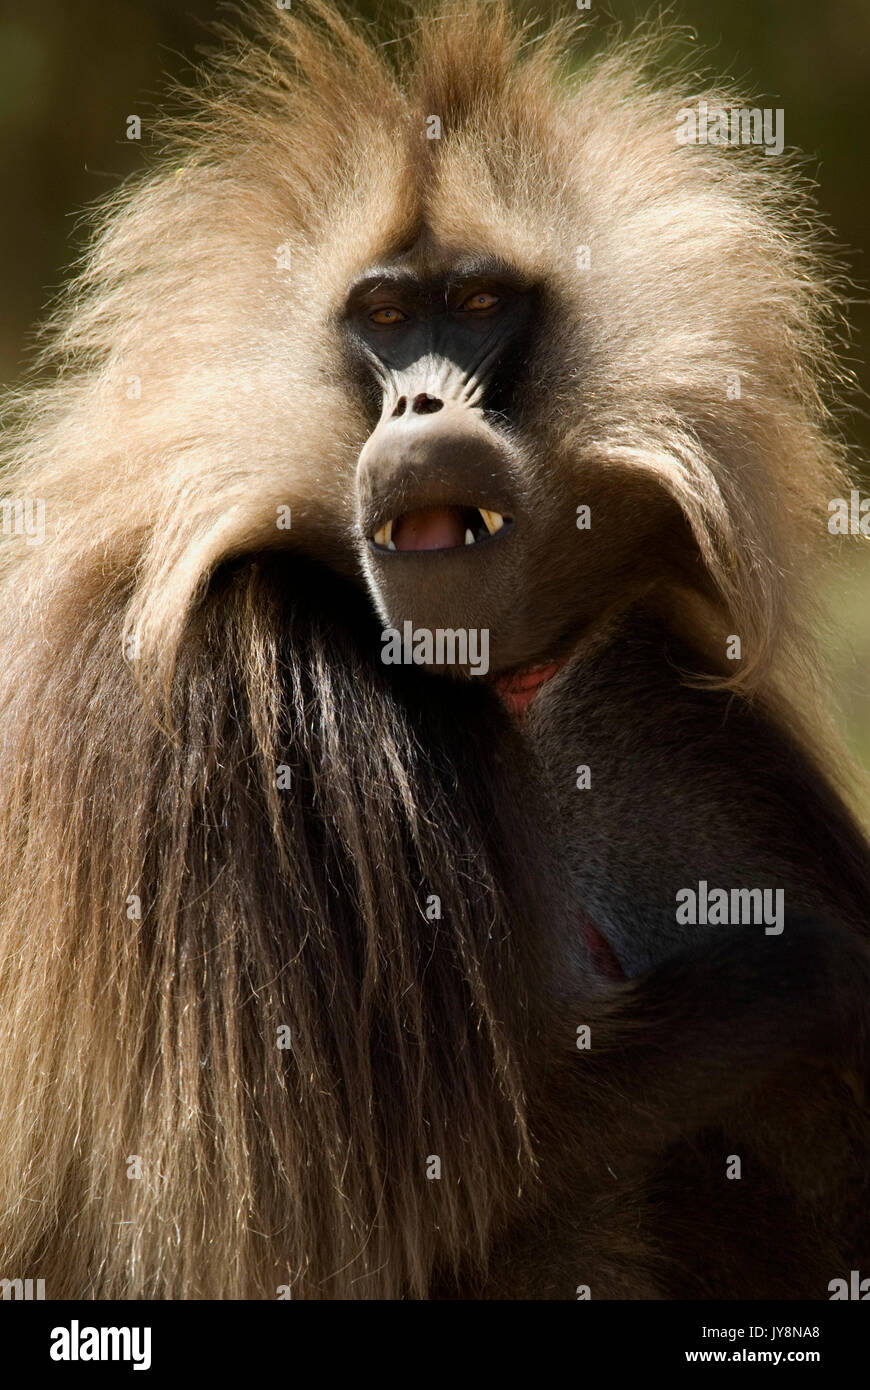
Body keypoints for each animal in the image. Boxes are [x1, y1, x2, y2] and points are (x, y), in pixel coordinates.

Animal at [0, 0, 869, 1300]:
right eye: (386, 320)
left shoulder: (650, 685)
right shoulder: (246, 704)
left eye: (477, 304)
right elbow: (365, 1213)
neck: (501, 687)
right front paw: (814, 983)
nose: (421, 409)